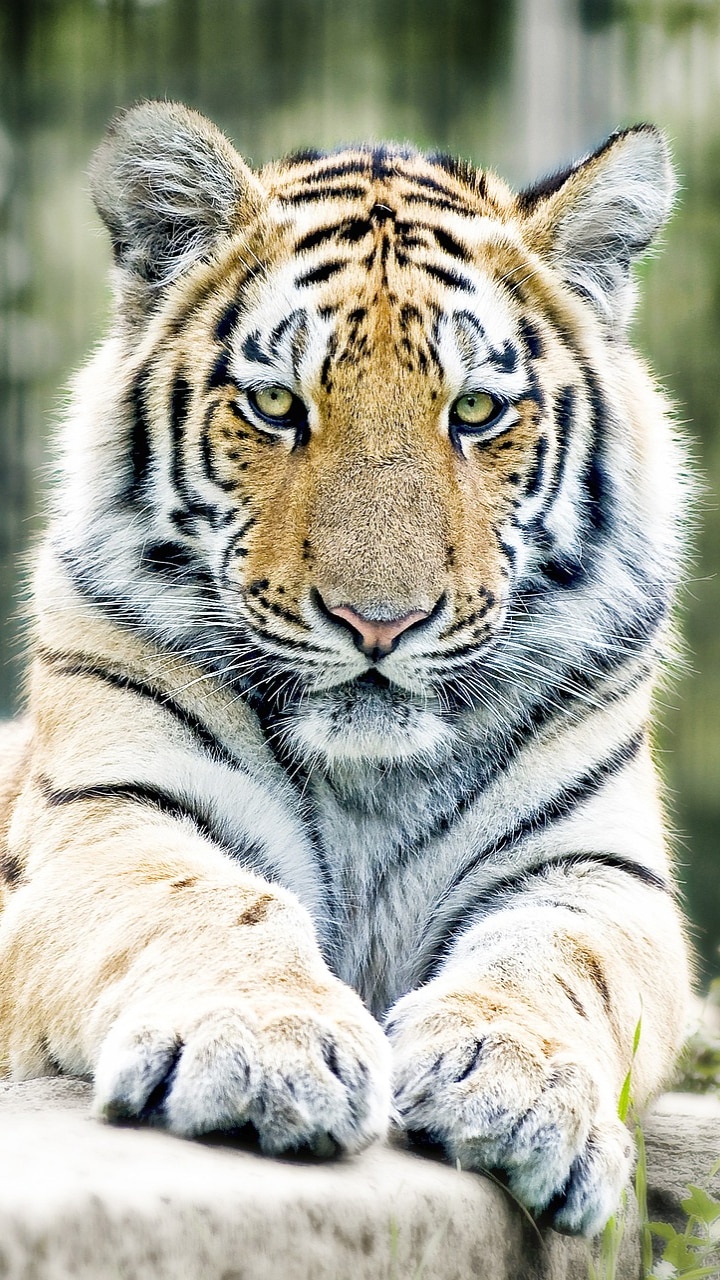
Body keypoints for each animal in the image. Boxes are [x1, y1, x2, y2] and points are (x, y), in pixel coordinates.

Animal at [0, 101, 691, 1239]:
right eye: (277, 406)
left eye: (476, 412)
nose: (381, 622)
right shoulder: (107, 819)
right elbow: (208, 901)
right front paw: (260, 1050)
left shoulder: (597, 869)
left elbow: (555, 959)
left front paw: (514, 1082)